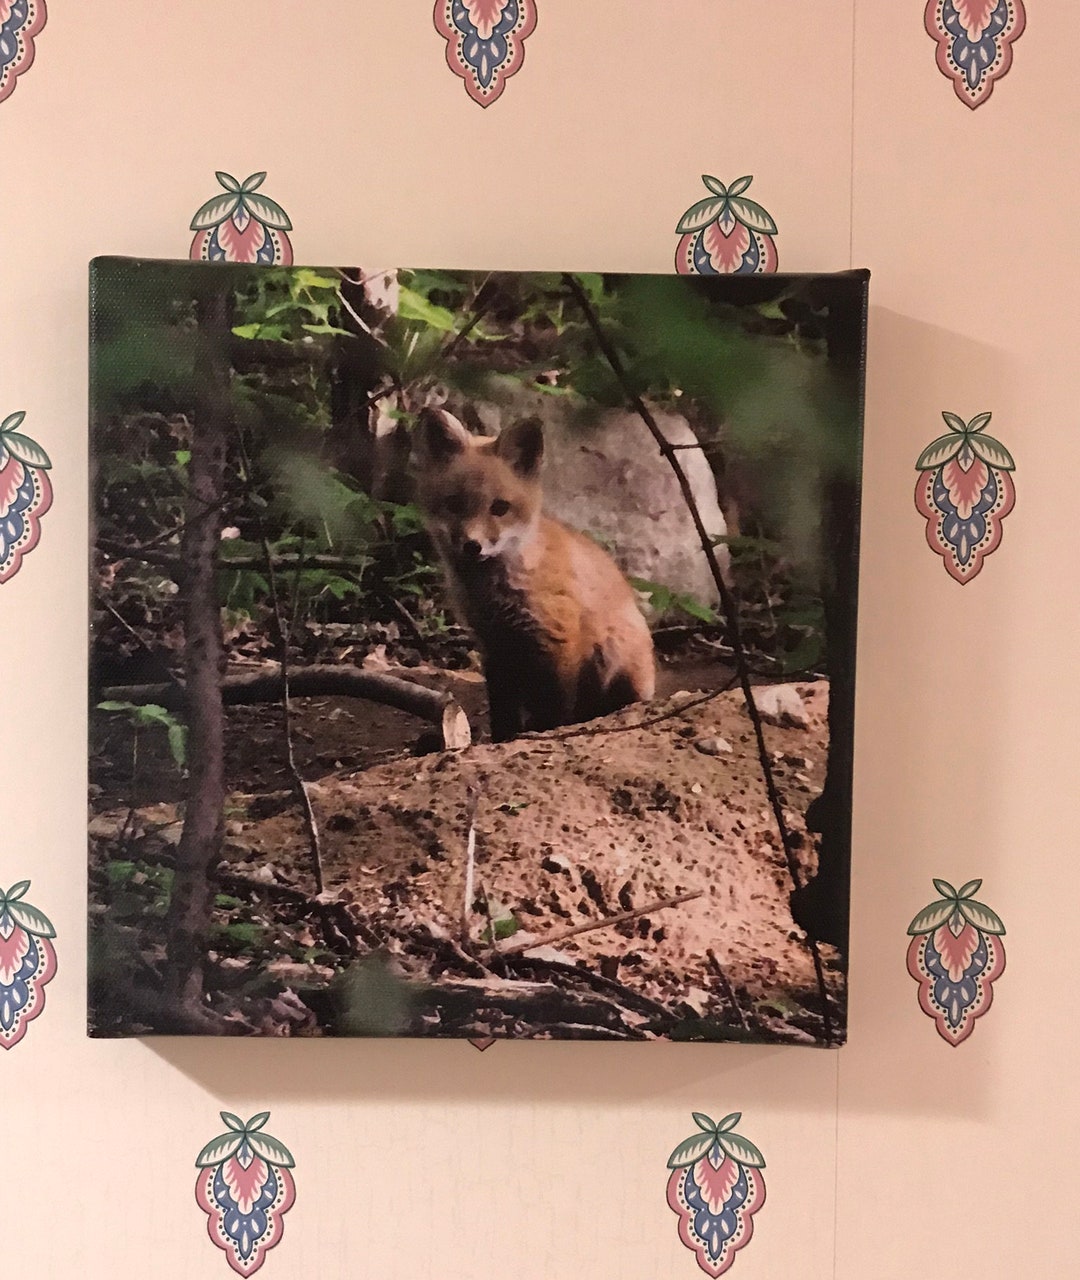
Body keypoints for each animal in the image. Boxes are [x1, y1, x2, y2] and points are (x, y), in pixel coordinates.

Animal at [413, 407, 656, 742]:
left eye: (500, 508)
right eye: (454, 504)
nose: (472, 546)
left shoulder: (558, 641)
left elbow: (557, 708)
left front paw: (548, 732)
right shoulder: (495, 645)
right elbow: (502, 709)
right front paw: (503, 738)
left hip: (617, 657)